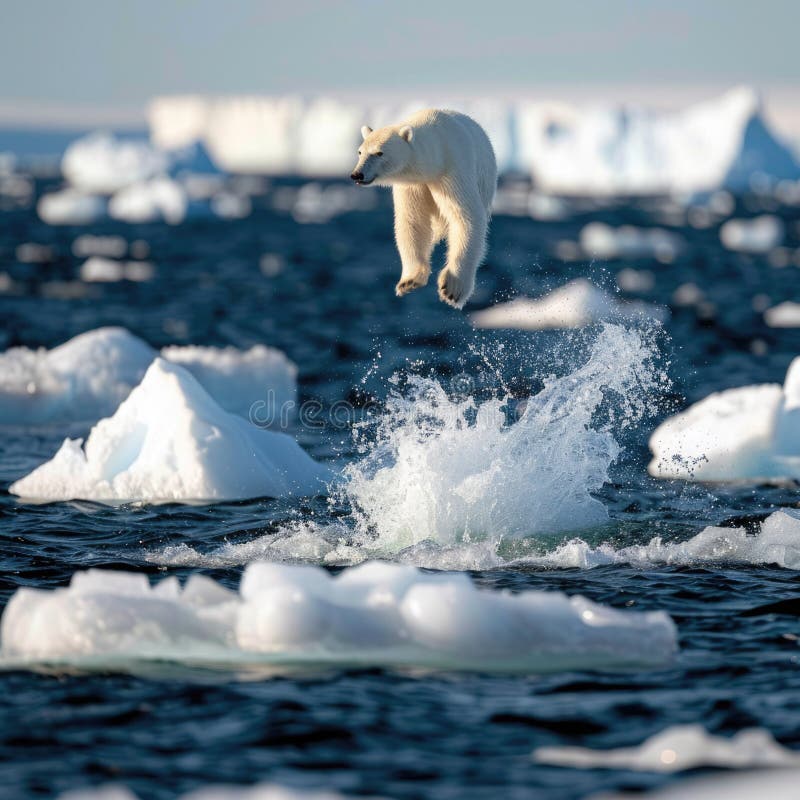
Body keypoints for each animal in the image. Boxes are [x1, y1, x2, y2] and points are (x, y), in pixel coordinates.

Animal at [350, 109, 497, 309]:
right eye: (360, 151)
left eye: (379, 153)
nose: (357, 174)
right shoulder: (412, 184)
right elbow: (413, 221)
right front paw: (408, 281)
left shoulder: (452, 171)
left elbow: (466, 216)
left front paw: (452, 288)